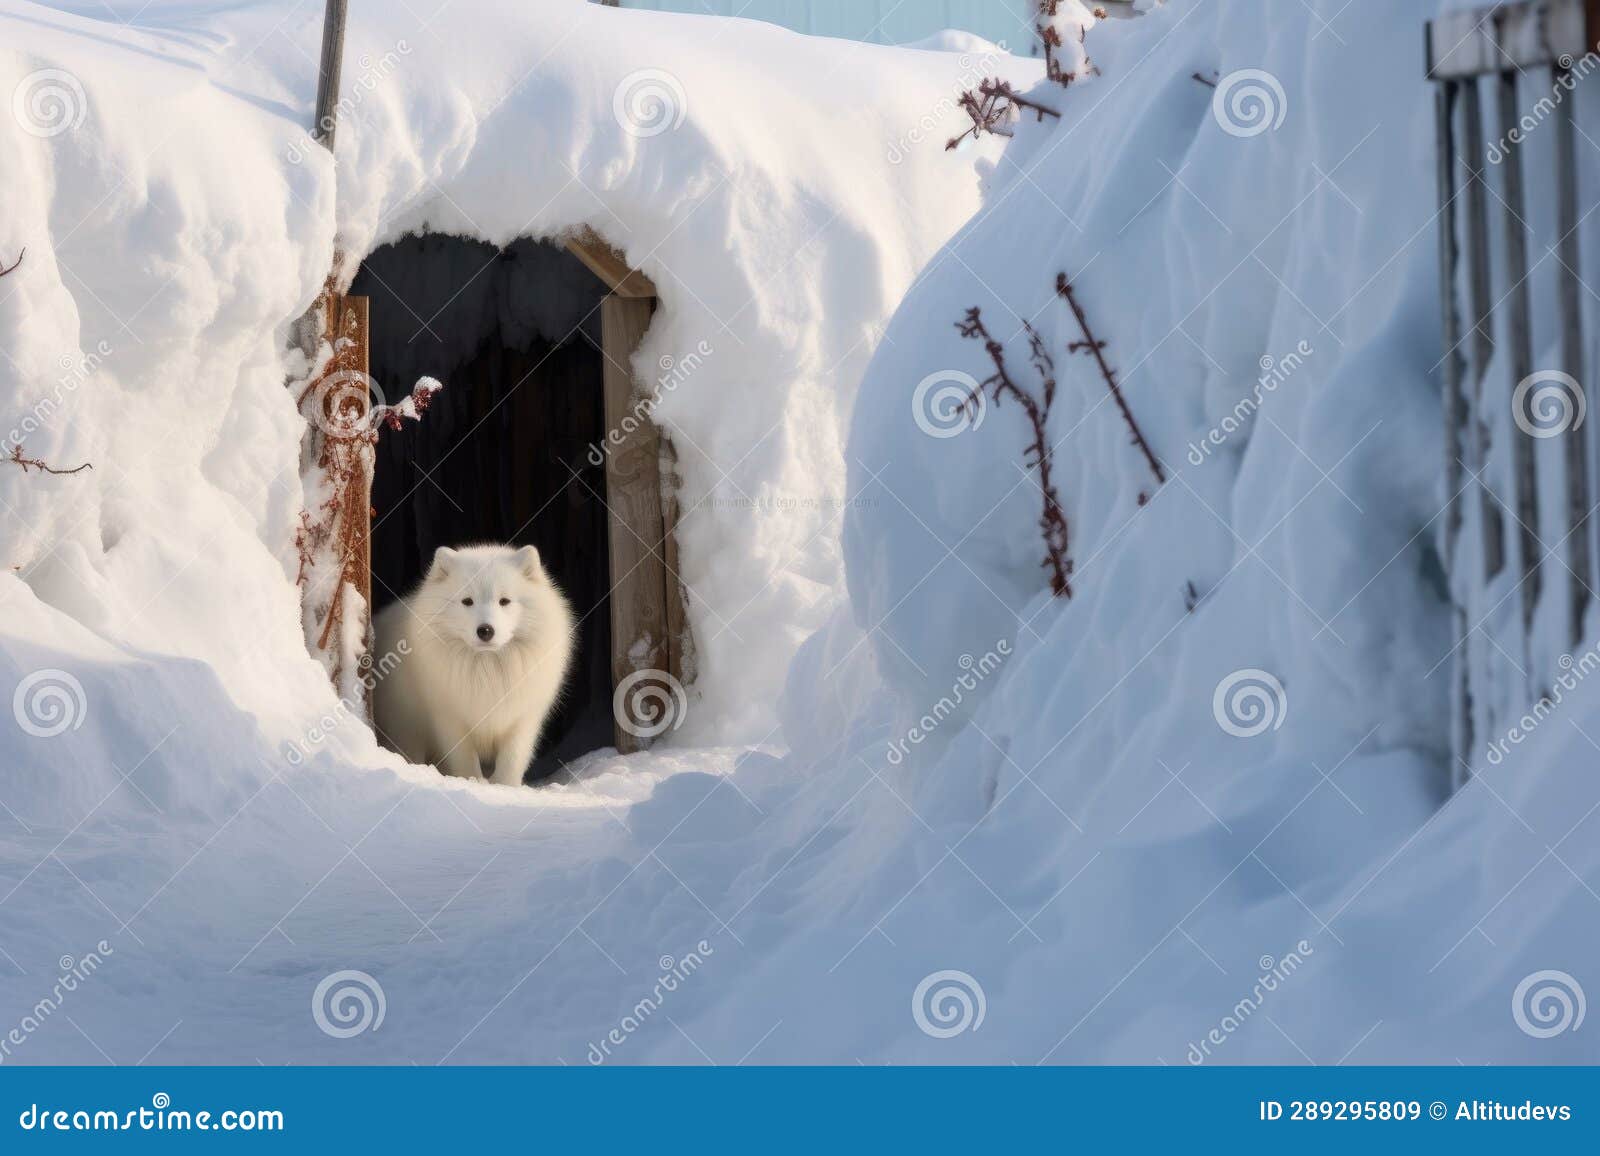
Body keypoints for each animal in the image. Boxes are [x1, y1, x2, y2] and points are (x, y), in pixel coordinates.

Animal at [373, 543, 575, 786]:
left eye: (504, 601)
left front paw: (505, 788)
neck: (487, 671)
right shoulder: (450, 719)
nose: (485, 630)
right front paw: (473, 783)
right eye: (467, 601)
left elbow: (512, 760)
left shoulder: (523, 719)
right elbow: (465, 759)